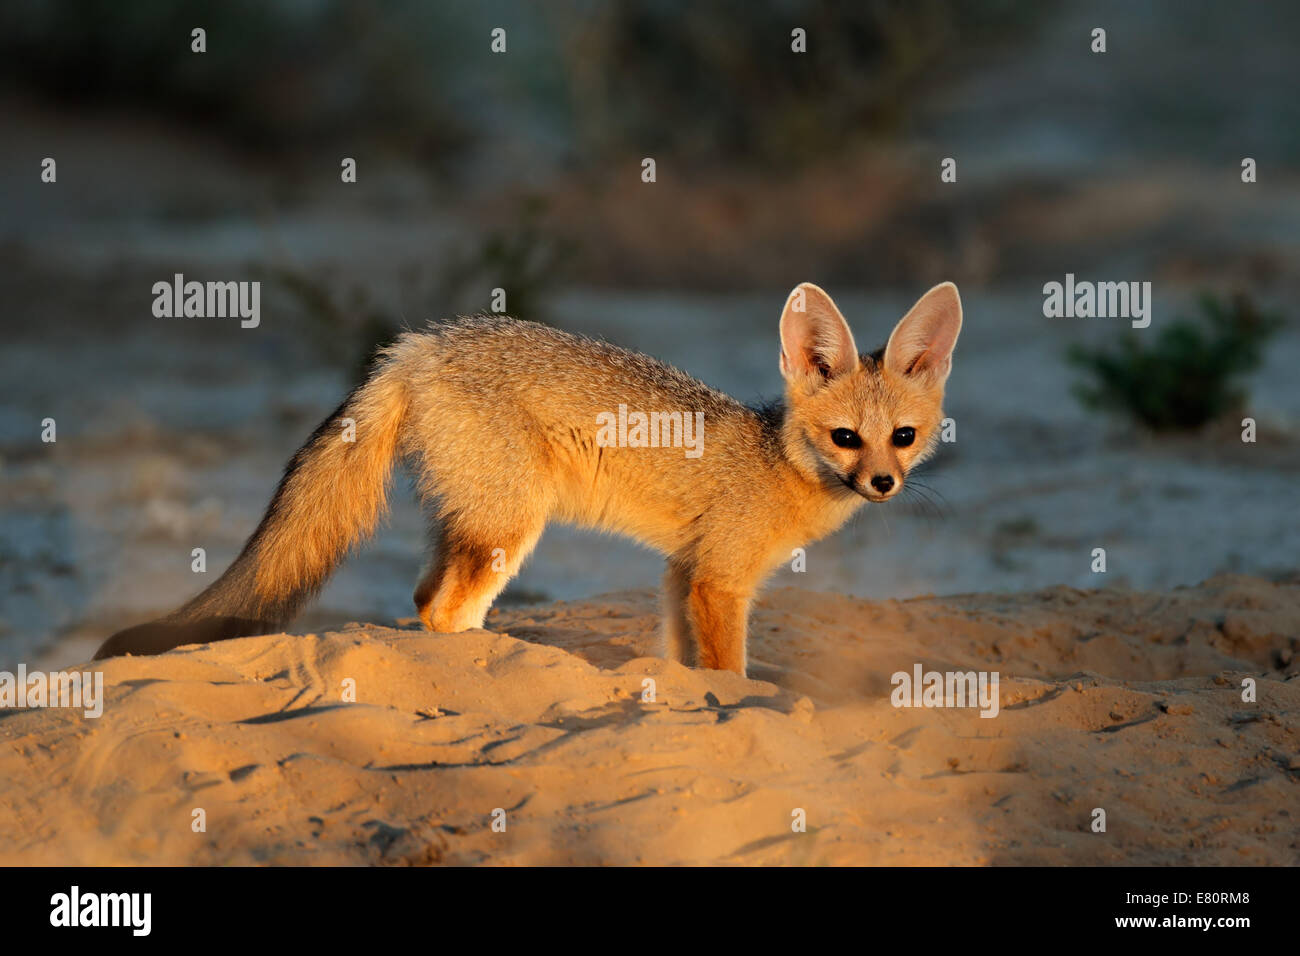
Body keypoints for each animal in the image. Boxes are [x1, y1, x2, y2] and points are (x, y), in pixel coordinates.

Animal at [94, 281, 962, 675]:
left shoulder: (682, 570)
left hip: (471, 522)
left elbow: (681, 660)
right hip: (510, 529)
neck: (775, 458)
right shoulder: (720, 579)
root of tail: (415, 344)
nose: (882, 485)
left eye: (904, 439)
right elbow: (727, 671)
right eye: (845, 438)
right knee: (440, 612)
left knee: (421, 600)